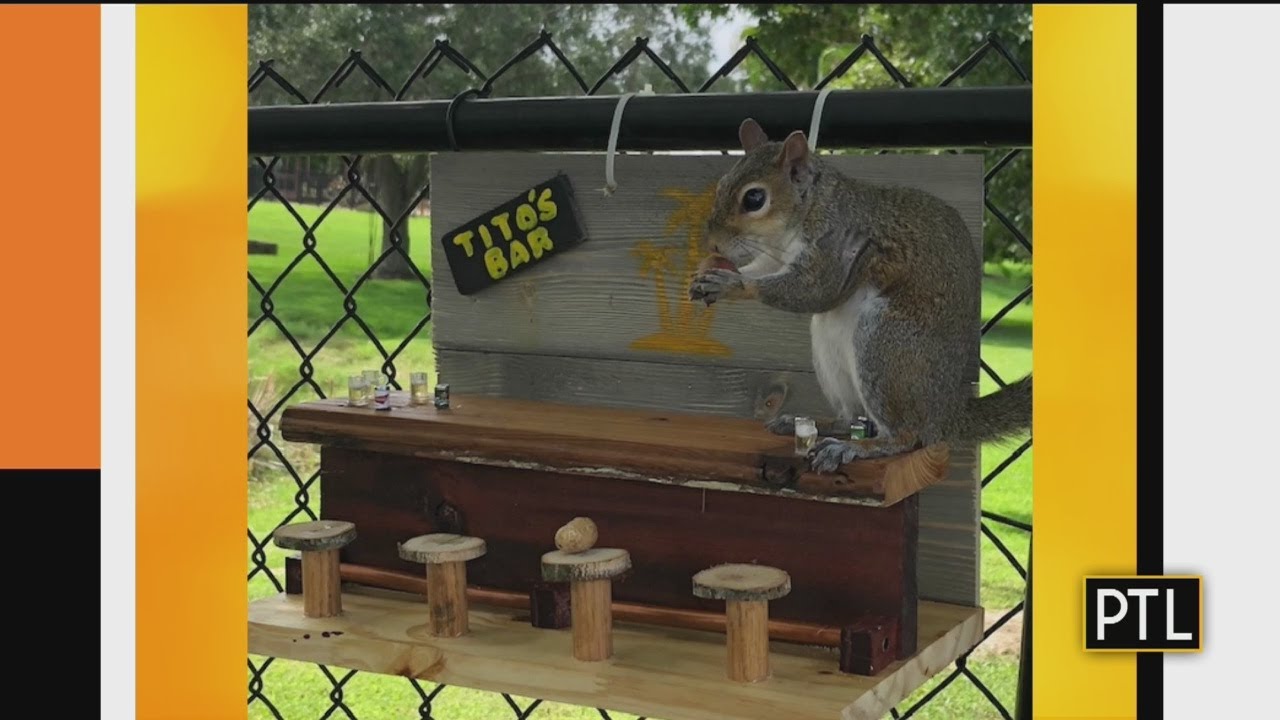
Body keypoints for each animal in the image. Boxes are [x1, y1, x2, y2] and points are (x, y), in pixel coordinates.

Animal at [688, 118, 1031, 473]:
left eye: (754, 199)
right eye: (721, 185)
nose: (712, 244)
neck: (809, 211)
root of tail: (944, 414)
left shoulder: (838, 245)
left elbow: (813, 290)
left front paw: (731, 284)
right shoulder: (776, 256)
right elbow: (764, 269)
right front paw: (707, 279)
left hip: (887, 345)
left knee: (906, 436)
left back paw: (855, 448)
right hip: (832, 352)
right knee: (850, 420)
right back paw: (817, 426)